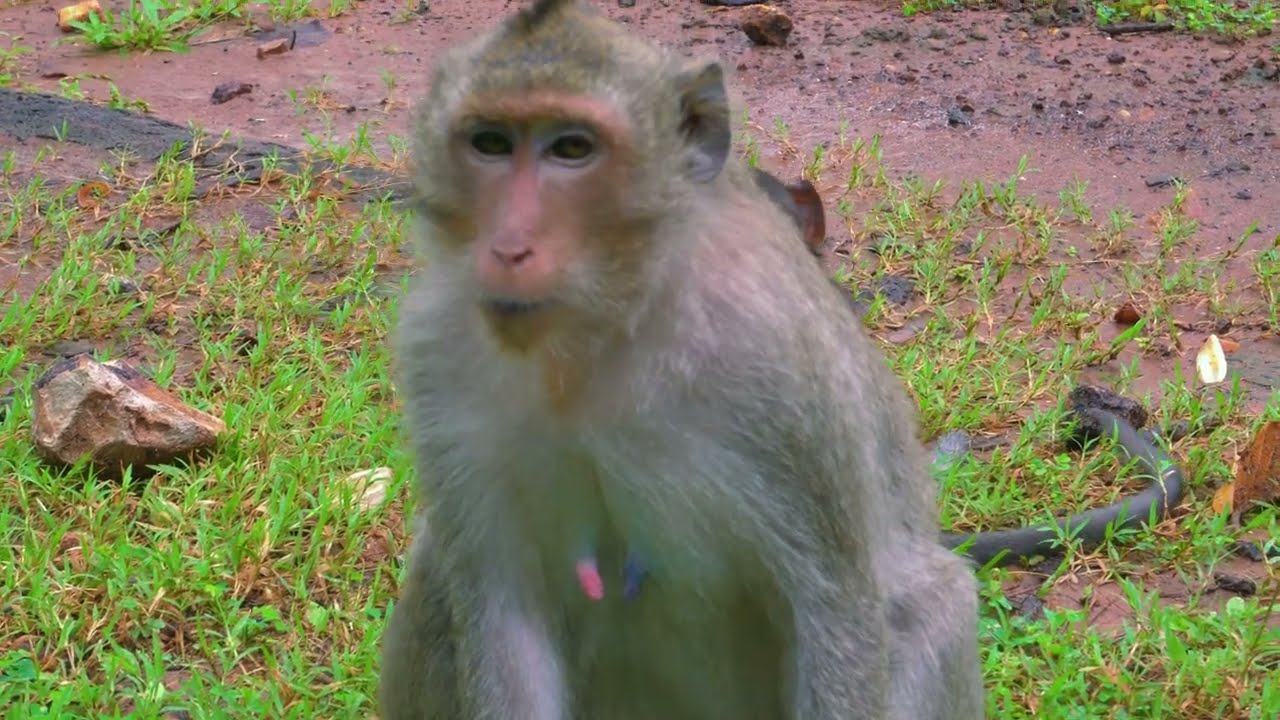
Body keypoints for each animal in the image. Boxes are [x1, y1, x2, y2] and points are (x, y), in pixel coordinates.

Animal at [380, 0, 984, 718]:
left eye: (573, 149)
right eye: (491, 144)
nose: (508, 247)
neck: (603, 333)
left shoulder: (780, 367)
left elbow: (835, 606)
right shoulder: (438, 351)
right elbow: (502, 613)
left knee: (929, 606)